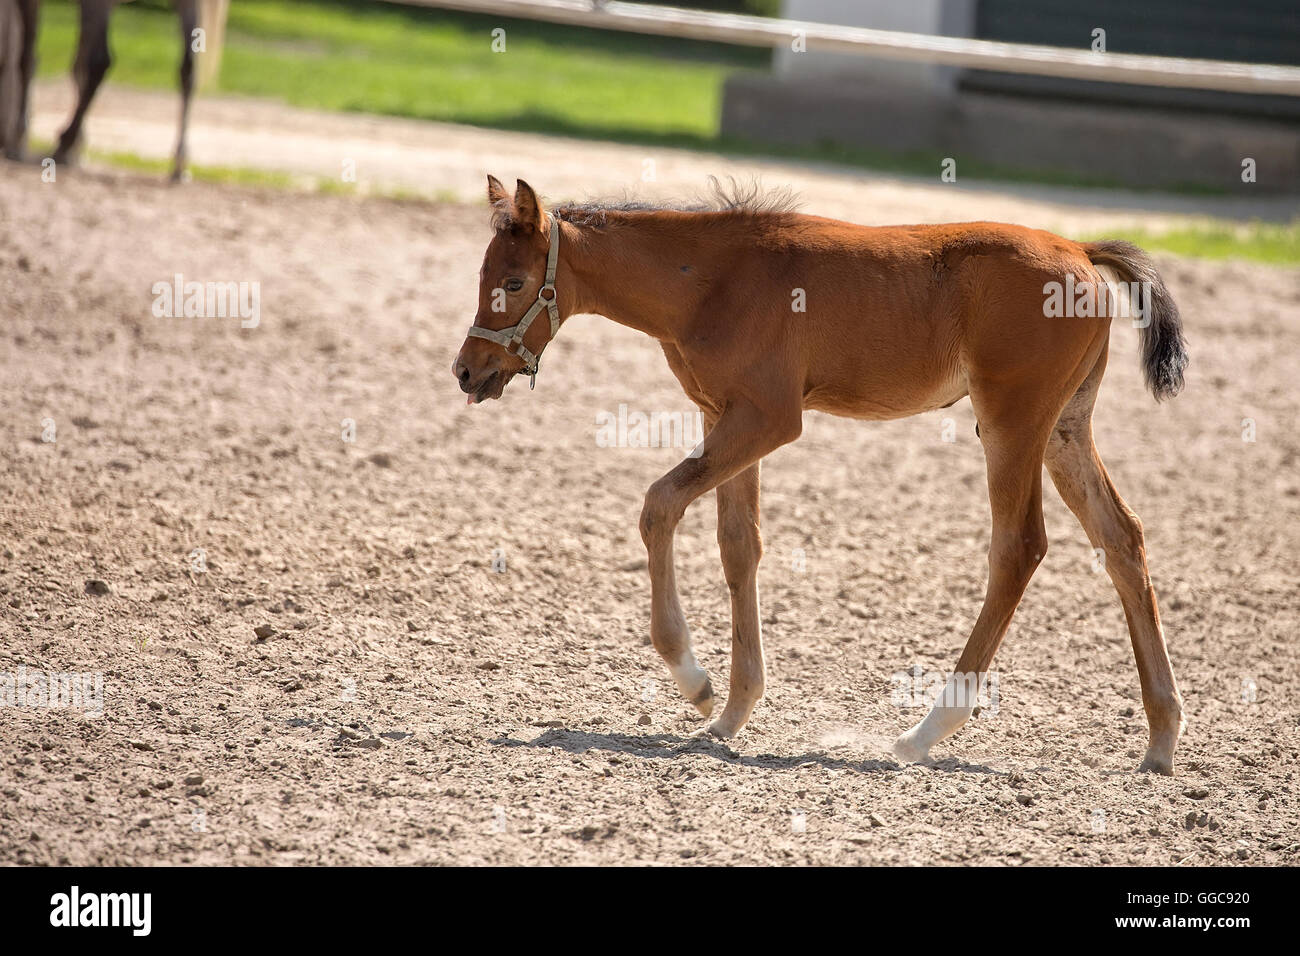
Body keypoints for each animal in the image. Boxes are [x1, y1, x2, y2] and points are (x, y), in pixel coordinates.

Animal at [2, 0, 199, 181]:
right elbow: (72, 66)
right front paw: (77, 149)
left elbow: (26, 58)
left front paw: (19, 138)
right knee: (189, 67)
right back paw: (180, 162)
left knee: (98, 61)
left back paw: (64, 142)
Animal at [452, 175, 1190, 775]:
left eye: (513, 284)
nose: (466, 370)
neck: (711, 280)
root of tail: (1081, 251)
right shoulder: (724, 416)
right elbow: (738, 546)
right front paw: (734, 710)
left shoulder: (770, 419)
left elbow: (659, 504)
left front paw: (696, 682)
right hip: (1065, 428)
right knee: (1122, 538)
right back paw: (1160, 739)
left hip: (1012, 423)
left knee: (1019, 548)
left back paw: (925, 731)